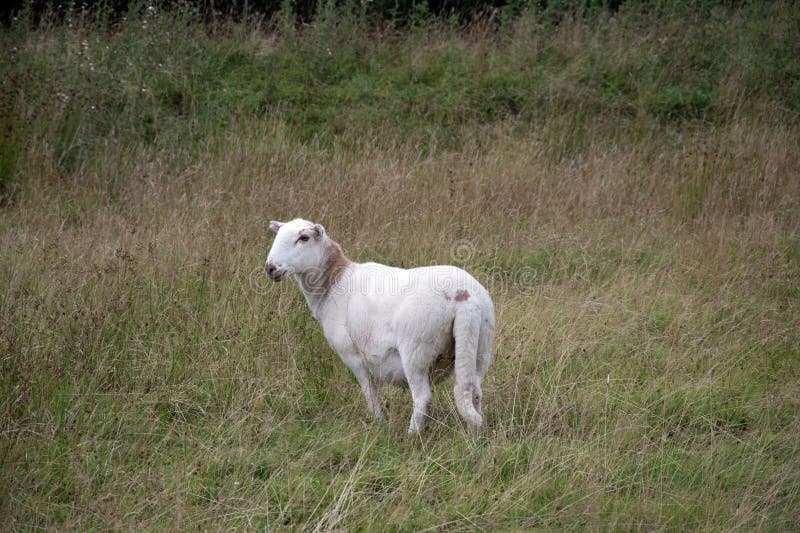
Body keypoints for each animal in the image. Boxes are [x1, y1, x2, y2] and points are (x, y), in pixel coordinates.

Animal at [265, 218, 495, 434]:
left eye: (303, 238)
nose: (270, 268)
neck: (333, 283)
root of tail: (463, 297)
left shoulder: (354, 356)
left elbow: (371, 393)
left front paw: (379, 424)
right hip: (480, 347)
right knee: (474, 391)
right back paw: (473, 436)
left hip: (417, 351)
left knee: (423, 399)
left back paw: (411, 437)